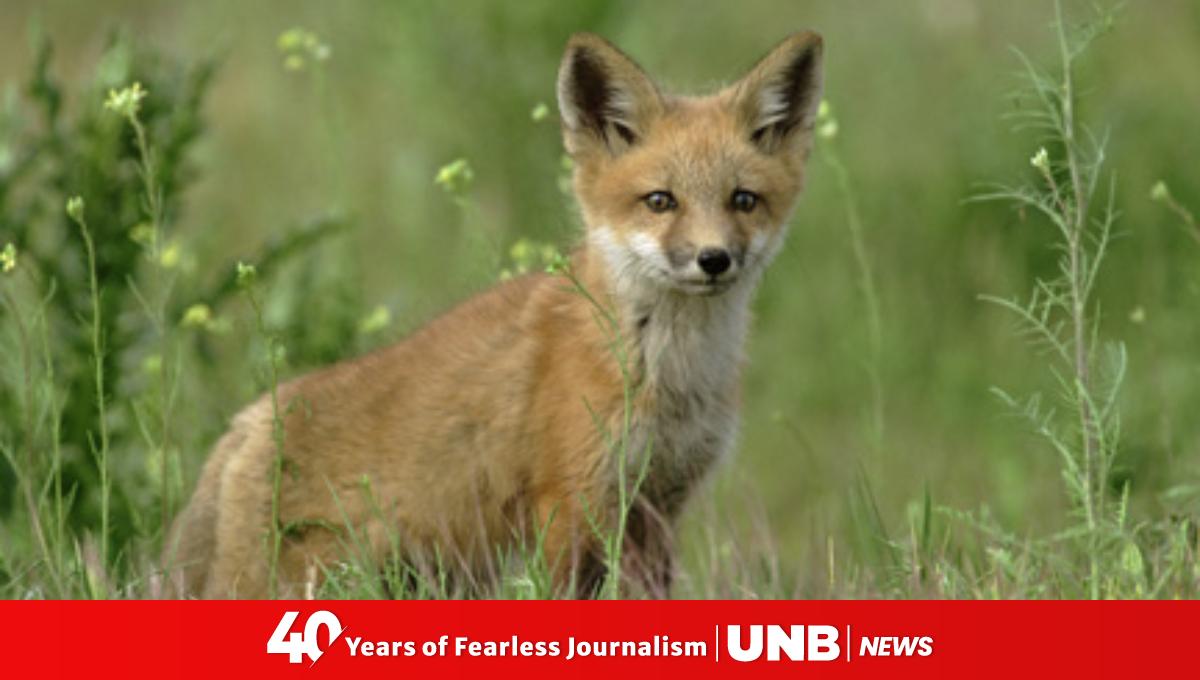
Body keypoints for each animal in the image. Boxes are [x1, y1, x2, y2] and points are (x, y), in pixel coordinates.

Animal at [166, 30, 824, 598]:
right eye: (660, 201)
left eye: (743, 200)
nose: (714, 259)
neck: (670, 375)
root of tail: (248, 423)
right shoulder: (571, 501)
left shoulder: (660, 504)